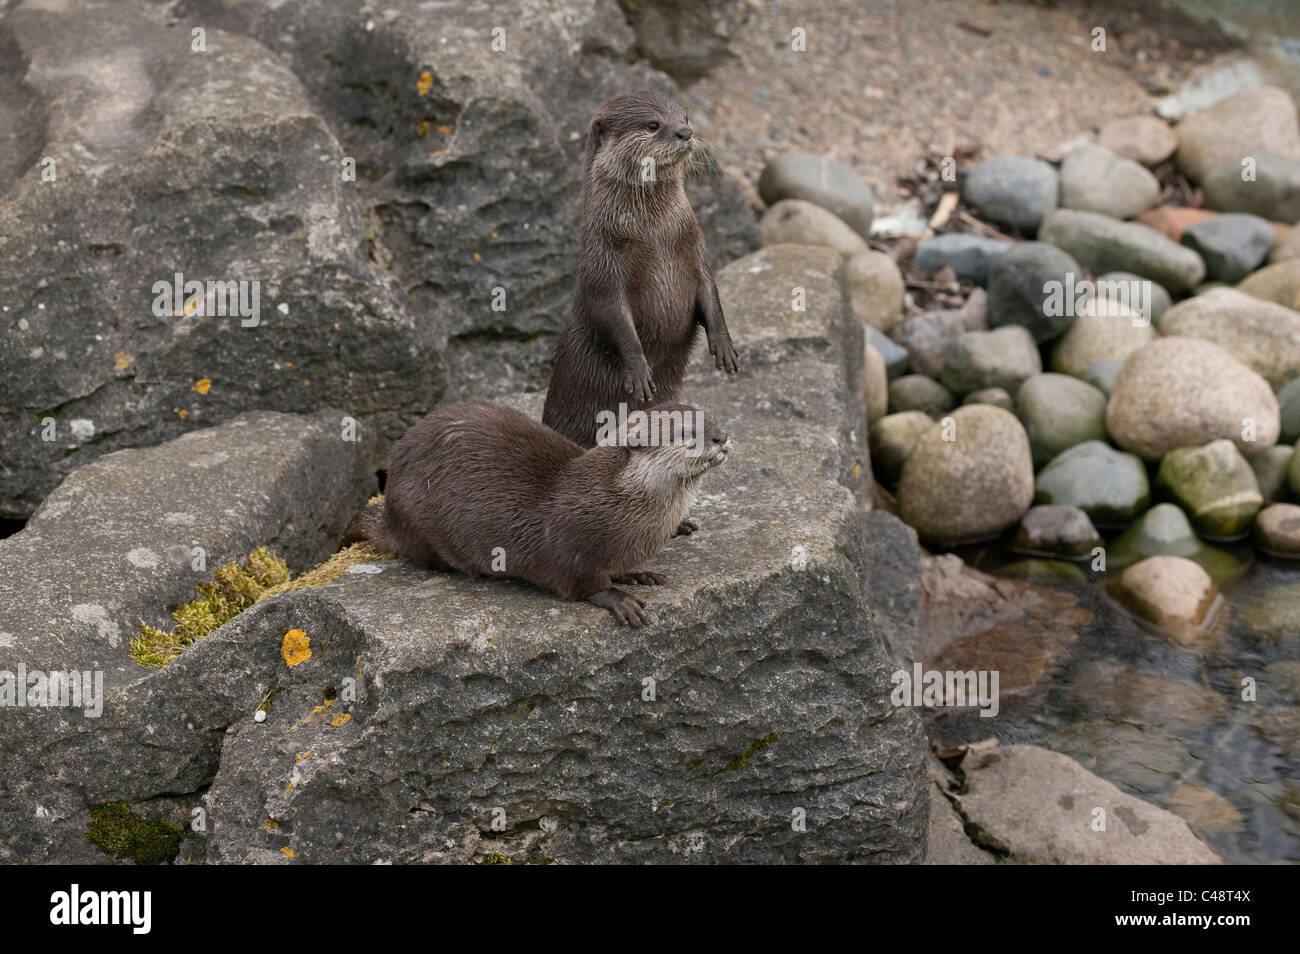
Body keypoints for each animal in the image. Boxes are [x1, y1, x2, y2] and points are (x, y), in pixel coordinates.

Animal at [343, 401, 731, 626]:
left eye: (714, 419)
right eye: (686, 432)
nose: (722, 436)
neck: (615, 500)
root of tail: (390, 507)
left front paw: (637, 573)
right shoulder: (569, 544)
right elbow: (581, 581)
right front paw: (618, 598)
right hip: (419, 522)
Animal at [542, 90, 740, 455]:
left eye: (685, 117)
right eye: (652, 125)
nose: (686, 132)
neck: (656, 234)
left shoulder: (696, 248)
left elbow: (710, 292)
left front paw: (724, 345)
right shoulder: (602, 263)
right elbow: (610, 312)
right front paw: (638, 369)